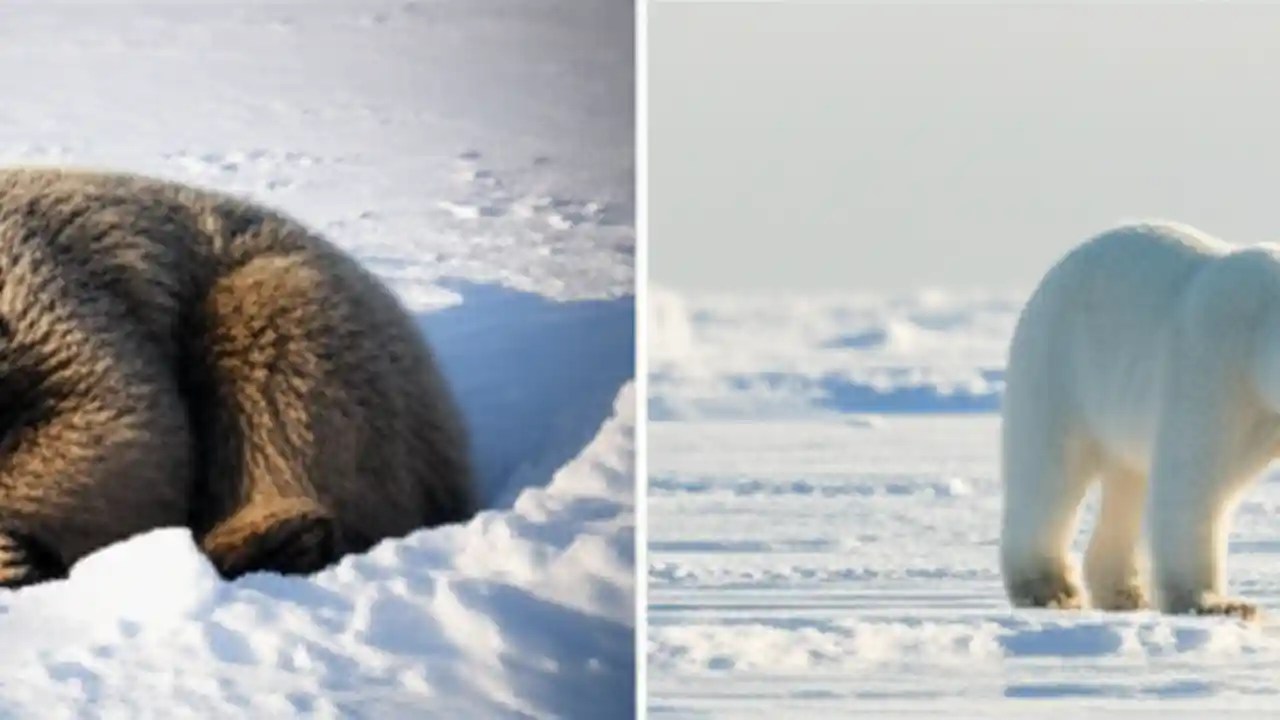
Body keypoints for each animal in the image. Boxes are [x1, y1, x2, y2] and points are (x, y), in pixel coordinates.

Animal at [0, 167, 475, 587]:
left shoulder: (46, 289)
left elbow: (128, 426)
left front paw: (13, 554)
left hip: (323, 323)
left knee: (270, 360)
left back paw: (263, 538)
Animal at [999, 220, 1280, 620]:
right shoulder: (1221, 371)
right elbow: (1193, 479)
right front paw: (1214, 603)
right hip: (1059, 366)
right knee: (1049, 472)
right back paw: (1049, 589)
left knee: (1127, 485)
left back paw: (1125, 594)